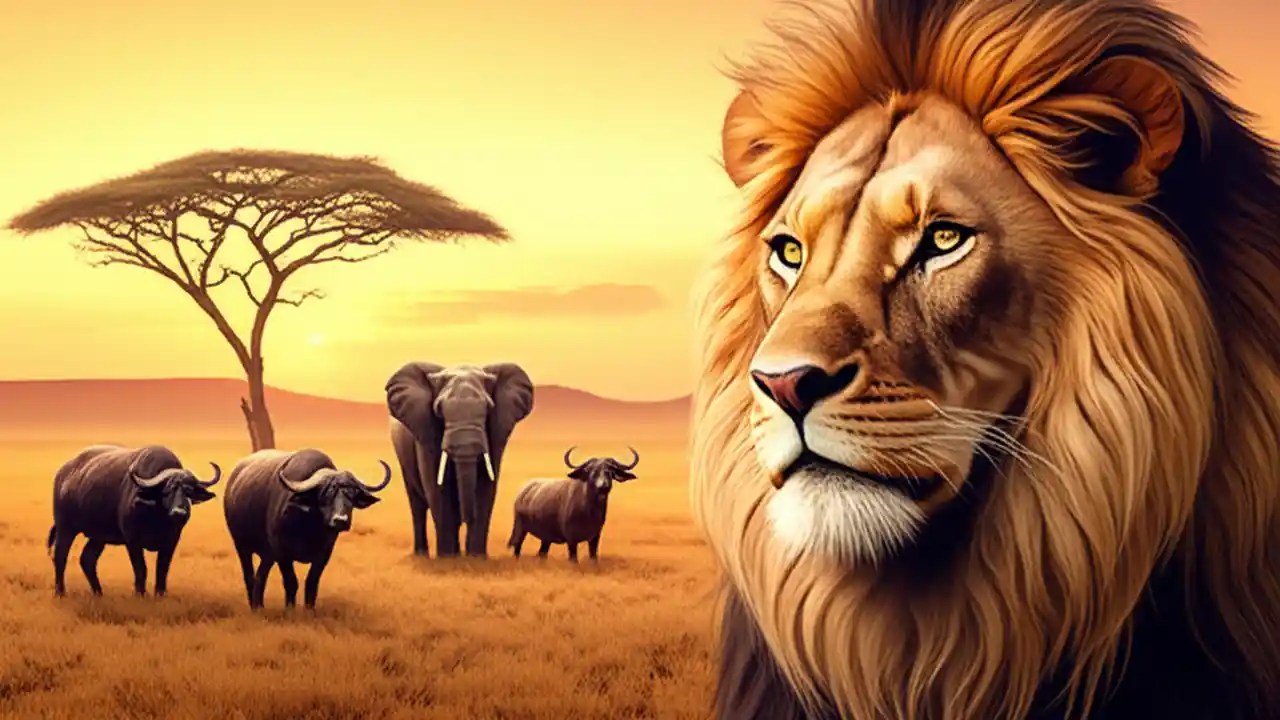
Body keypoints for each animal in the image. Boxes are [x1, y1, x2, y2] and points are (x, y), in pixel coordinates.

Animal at [48, 444, 221, 597]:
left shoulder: (172, 540)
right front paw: (140, 594)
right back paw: (60, 592)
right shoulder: (132, 540)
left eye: (188, 491)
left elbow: (162, 569)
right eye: (167, 491)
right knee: (60, 556)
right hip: (65, 527)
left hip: (98, 536)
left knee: (87, 559)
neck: (157, 519)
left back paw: (98, 593)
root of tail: (63, 474)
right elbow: (140, 568)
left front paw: (160, 594)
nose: (179, 512)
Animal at [222, 449, 390, 610]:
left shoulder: (324, 553)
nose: (340, 520)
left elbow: (312, 582)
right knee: (249, 575)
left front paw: (309, 609)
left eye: (351, 495)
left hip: (267, 554)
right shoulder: (282, 552)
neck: (309, 528)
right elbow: (291, 582)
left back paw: (259, 606)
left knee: (261, 576)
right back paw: (254, 606)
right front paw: (290, 609)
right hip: (241, 546)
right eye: (325, 494)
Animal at [386, 362, 534, 557]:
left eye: (488, 409)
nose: (466, 519)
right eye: (439, 410)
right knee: (417, 506)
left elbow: (486, 486)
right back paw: (422, 554)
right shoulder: (426, 430)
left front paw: (476, 557)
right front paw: (447, 558)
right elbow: (437, 488)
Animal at [508, 447, 639, 562]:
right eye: (592, 471)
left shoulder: (595, 537)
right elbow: (573, 559)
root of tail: (523, 492)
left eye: (609, 472)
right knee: (517, 548)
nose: (603, 487)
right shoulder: (571, 539)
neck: (589, 512)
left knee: (542, 553)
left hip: (546, 538)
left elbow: (593, 557)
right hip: (520, 528)